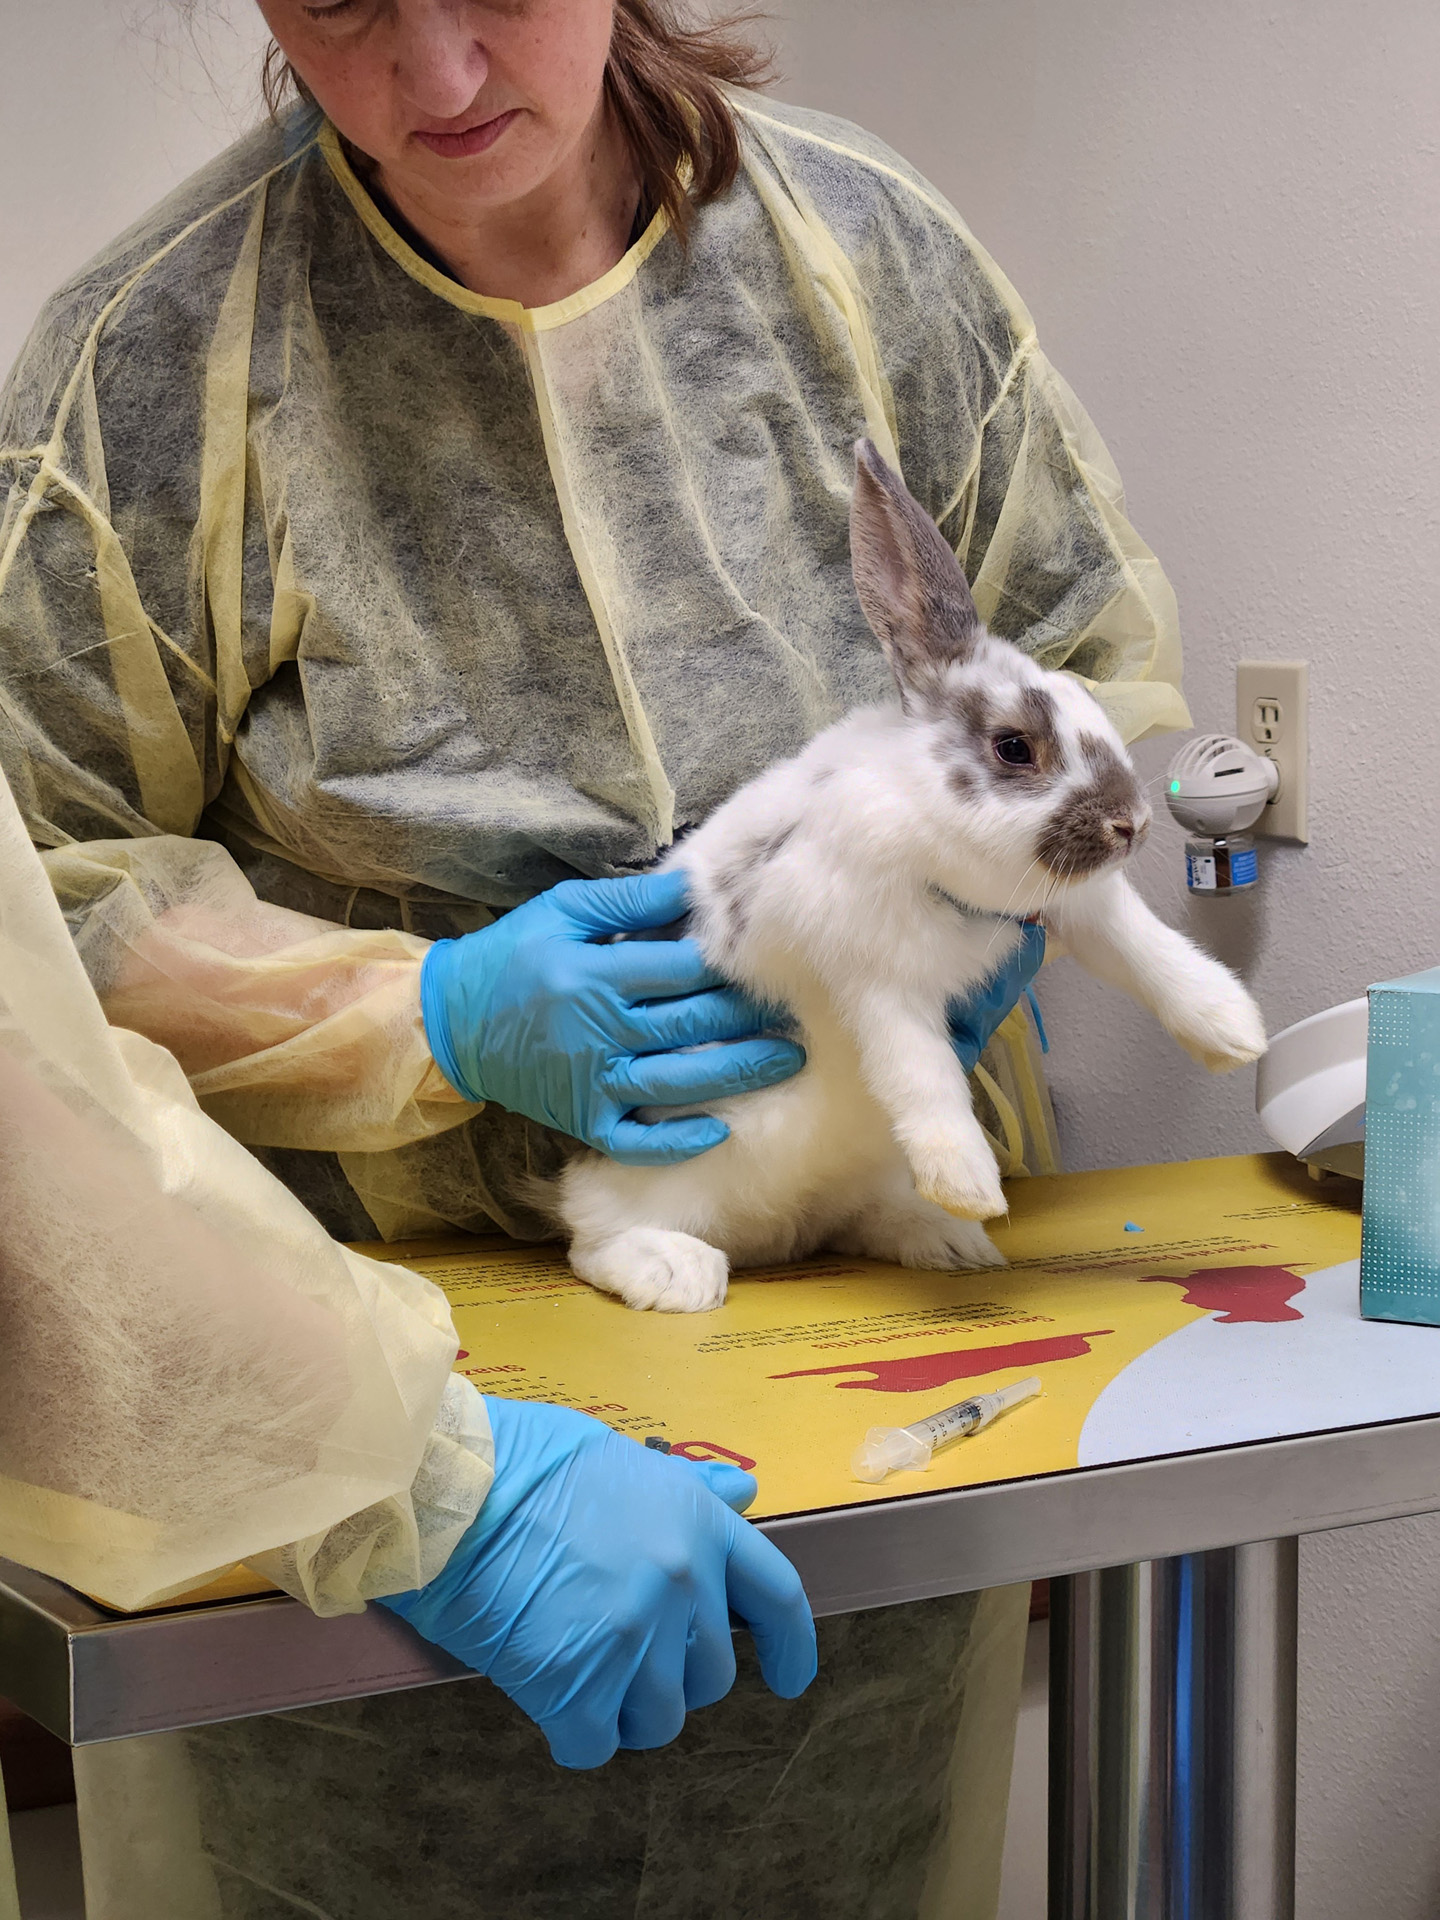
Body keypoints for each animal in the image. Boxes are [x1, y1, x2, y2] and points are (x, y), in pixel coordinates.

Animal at [549, 439, 1267, 1313]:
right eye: (1014, 747)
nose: (1131, 823)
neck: (933, 845)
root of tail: (777, 1233)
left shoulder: (1086, 913)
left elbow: (1152, 956)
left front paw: (1236, 1033)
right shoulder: (873, 981)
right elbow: (922, 1078)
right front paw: (972, 1187)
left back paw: (946, 1243)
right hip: (649, 1170)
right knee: (592, 1238)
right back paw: (678, 1272)